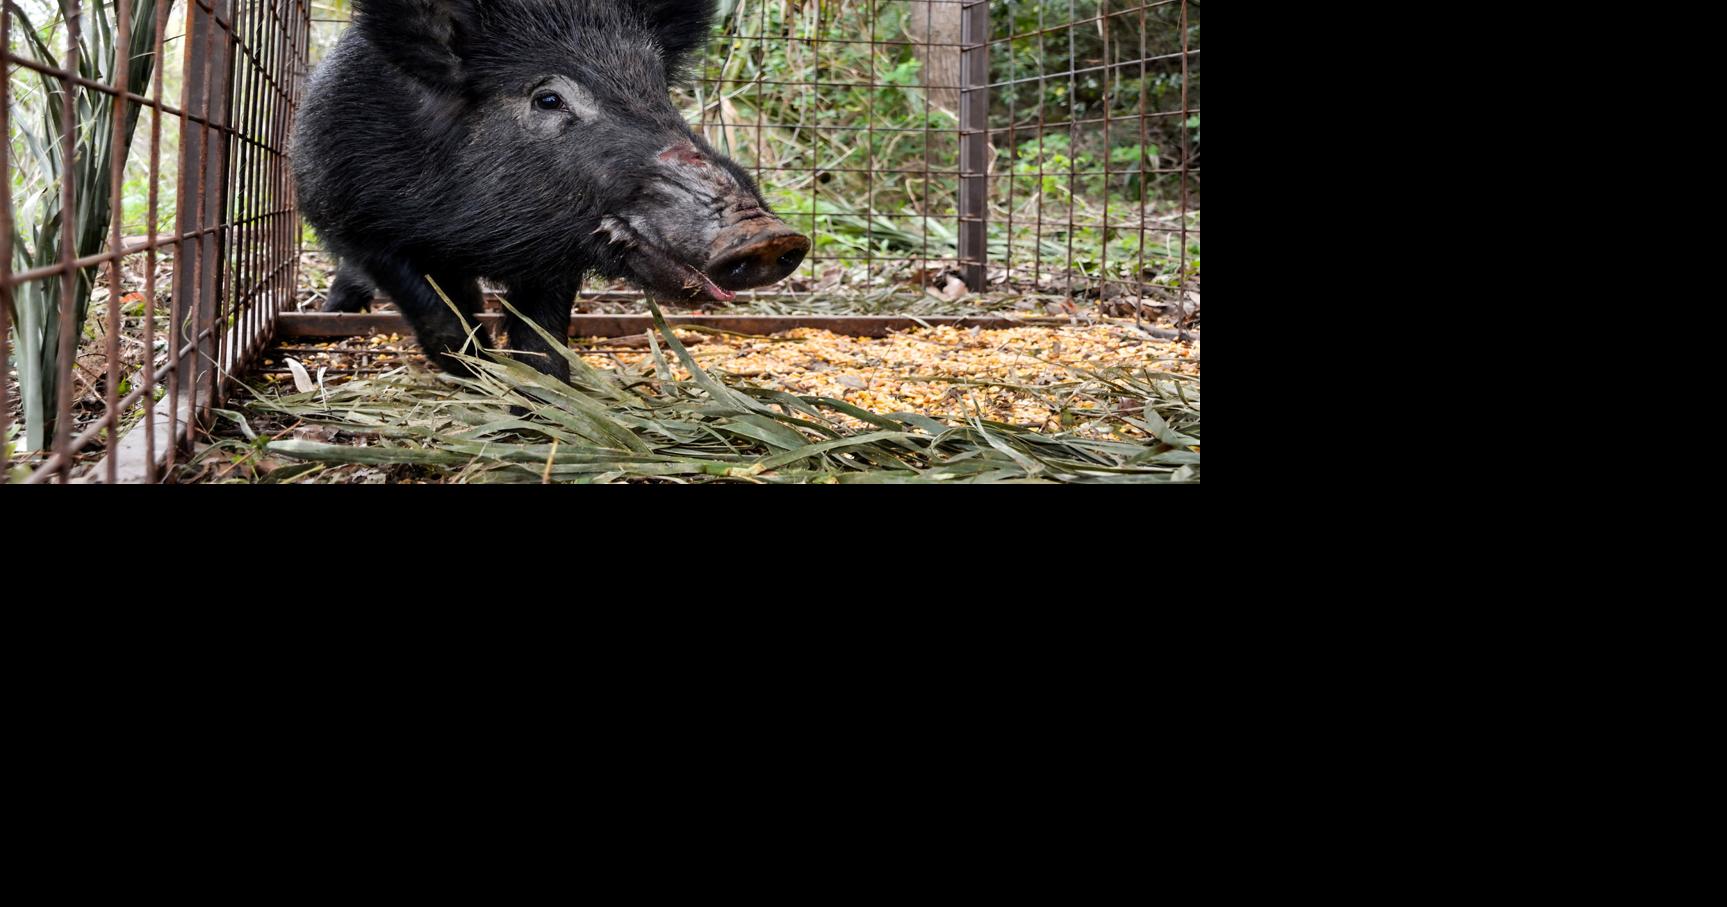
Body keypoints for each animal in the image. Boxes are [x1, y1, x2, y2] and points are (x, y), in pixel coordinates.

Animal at [291, 0, 809, 383]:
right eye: (548, 99)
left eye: (659, 88)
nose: (769, 236)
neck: (477, 238)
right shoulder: (358, 225)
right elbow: (442, 321)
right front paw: (480, 375)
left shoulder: (561, 248)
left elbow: (543, 333)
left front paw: (543, 395)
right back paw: (338, 312)